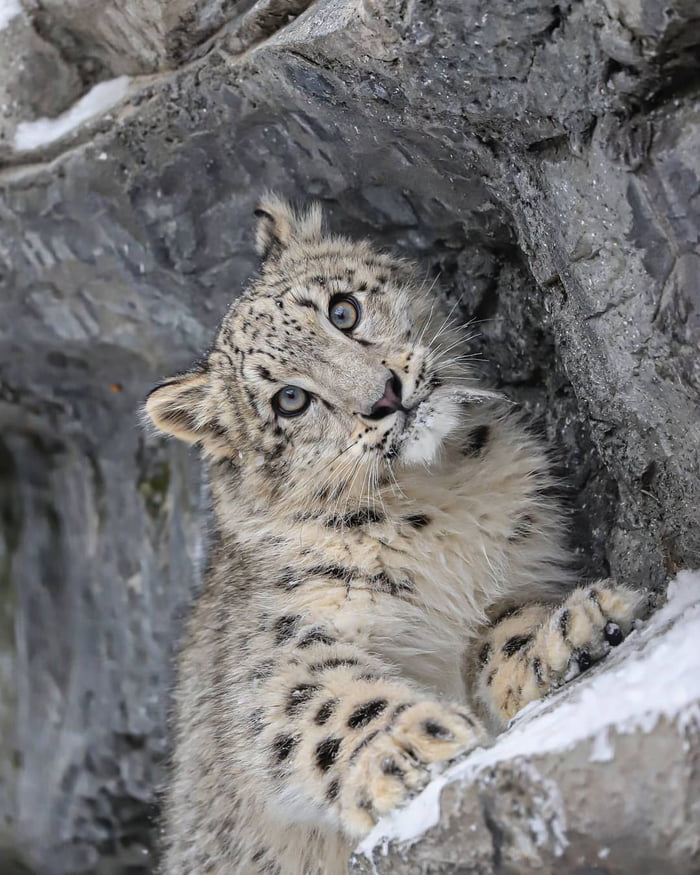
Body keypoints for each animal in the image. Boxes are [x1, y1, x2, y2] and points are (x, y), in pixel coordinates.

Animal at [144, 196, 648, 875]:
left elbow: (504, 630)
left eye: (342, 310)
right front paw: (409, 745)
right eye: (290, 400)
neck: (439, 501)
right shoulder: (284, 638)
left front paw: (572, 636)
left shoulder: (513, 574)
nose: (385, 396)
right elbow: (323, 699)